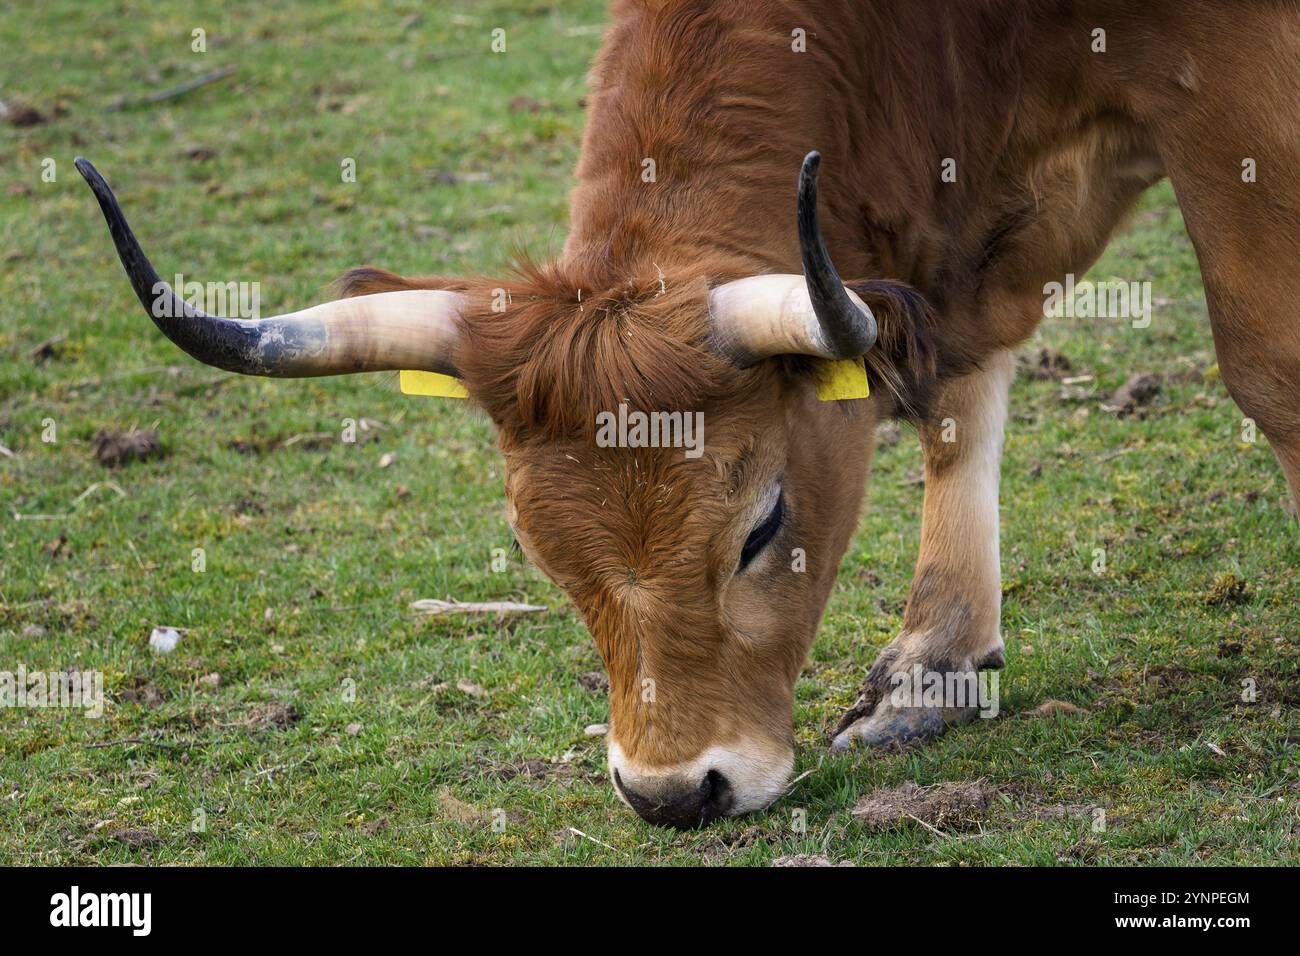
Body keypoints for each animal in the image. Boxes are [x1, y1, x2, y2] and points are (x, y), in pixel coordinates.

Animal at [77, 0, 1300, 828]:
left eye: (763, 528)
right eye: (537, 553)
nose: (673, 791)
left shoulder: (1228, 85)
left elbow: (1265, 361)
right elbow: (955, 398)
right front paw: (935, 664)